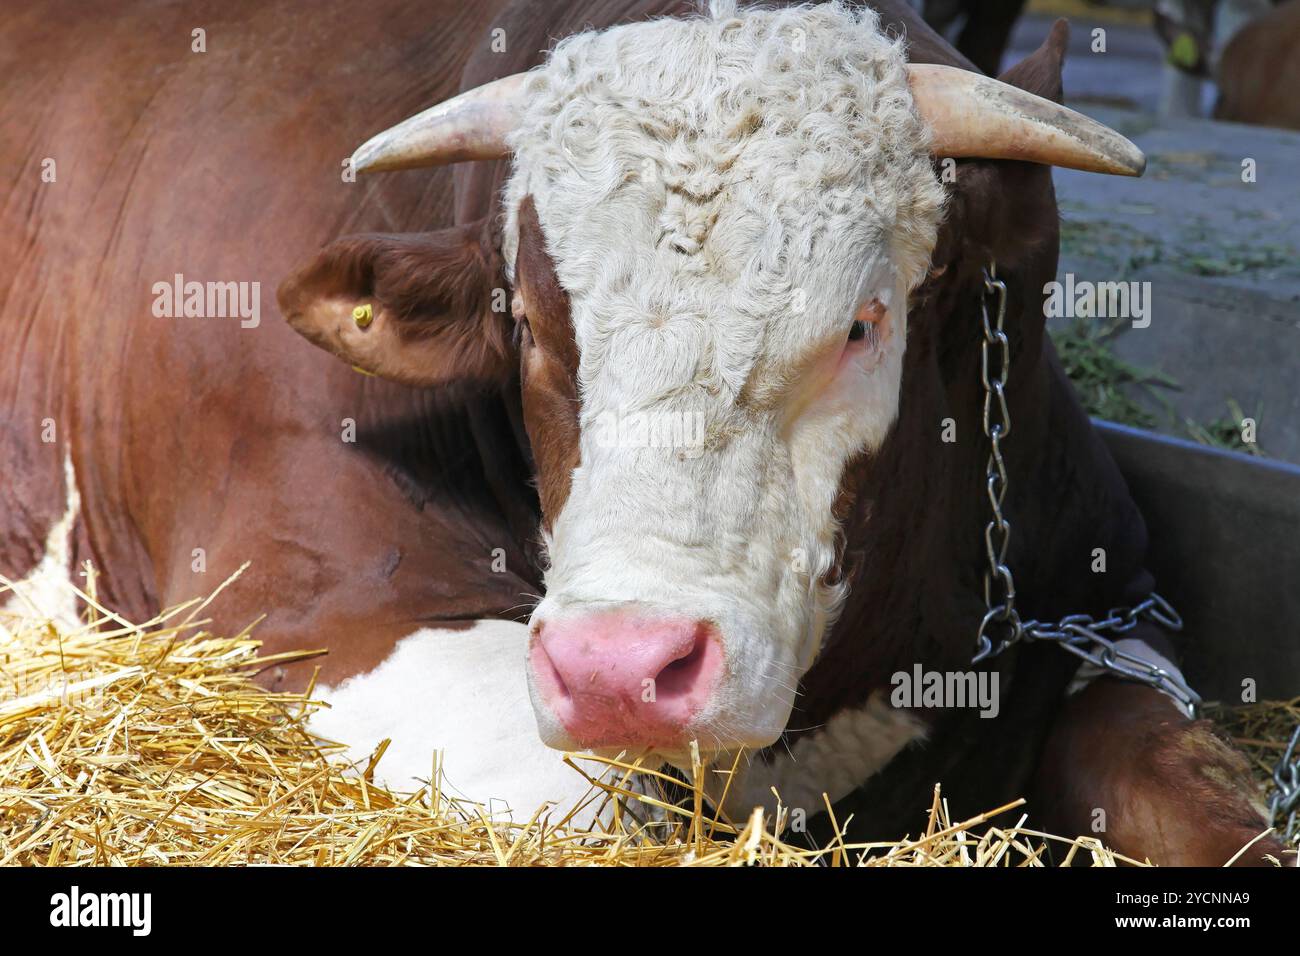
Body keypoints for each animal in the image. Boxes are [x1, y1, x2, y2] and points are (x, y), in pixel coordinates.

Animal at [0, 0, 1285, 865]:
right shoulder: (306, 594)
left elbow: (1194, 793)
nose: (620, 666)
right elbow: (591, 802)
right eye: (525, 325)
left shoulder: (1102, 602)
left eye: (863, 322)